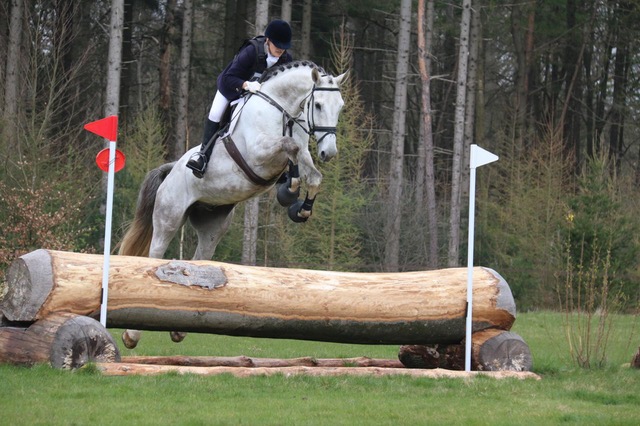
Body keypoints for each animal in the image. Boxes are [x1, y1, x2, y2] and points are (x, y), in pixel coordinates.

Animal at [117, 61, 347, 348]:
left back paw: (179, 330)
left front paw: (300, 208)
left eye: (340, 106)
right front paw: (289, 190)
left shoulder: (301, 156)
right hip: (169, 216)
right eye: (317, 105)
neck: (283, 109)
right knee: (155, 254)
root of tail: (170, 170)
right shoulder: (259, 154)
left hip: (213, 225)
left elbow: (312, 174)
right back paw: (131, 334)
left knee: (199, 260)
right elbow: (290, 146)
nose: (329, 153)